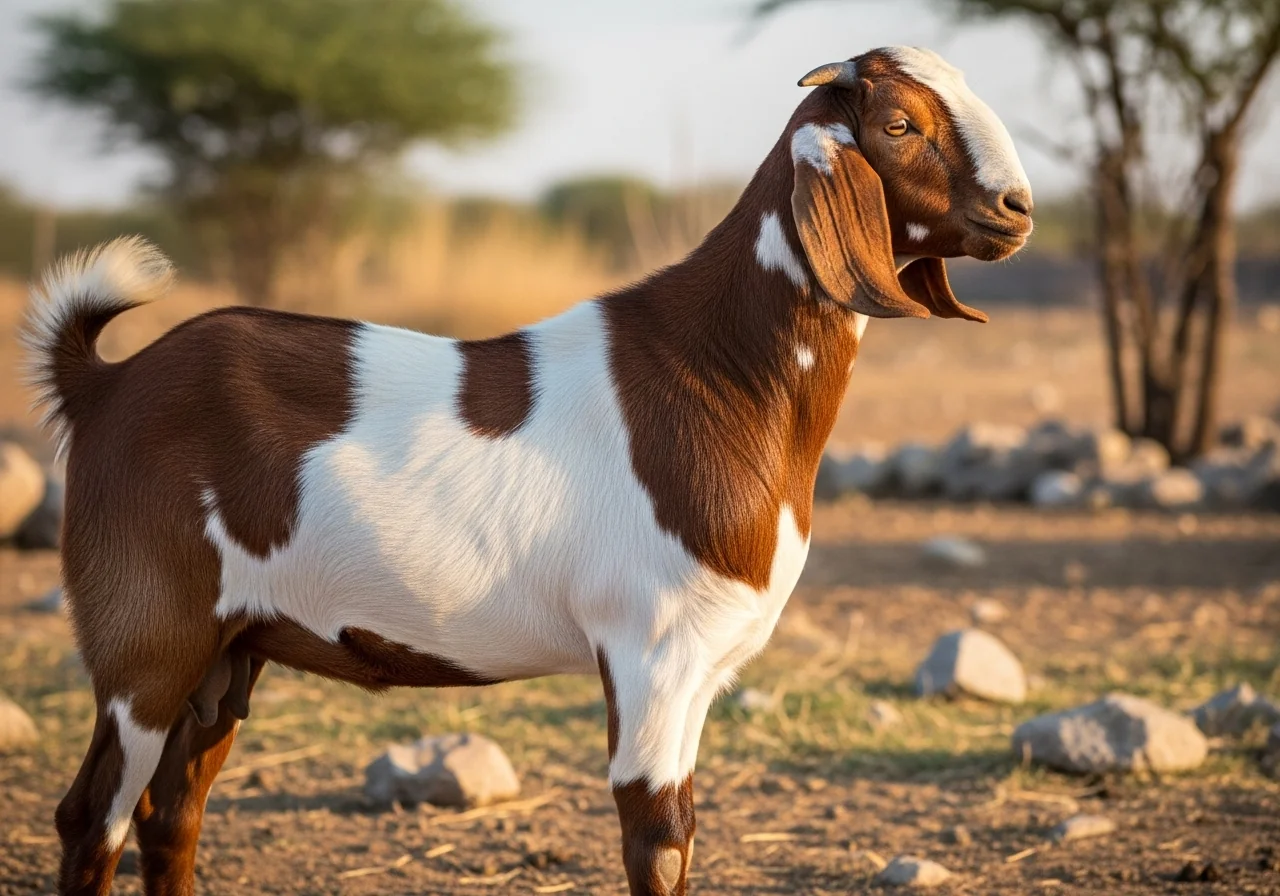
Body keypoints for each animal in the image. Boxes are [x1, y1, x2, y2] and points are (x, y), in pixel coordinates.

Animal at [26, 45, 1032, 896]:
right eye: (898, 124)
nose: (1018, 207)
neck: (718, 371)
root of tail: (105, 383)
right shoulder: (652, 650)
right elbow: (659, 843)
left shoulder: (700, 668)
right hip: (147, 640)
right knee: (94, 816)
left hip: (229, 651)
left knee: (170, 815)